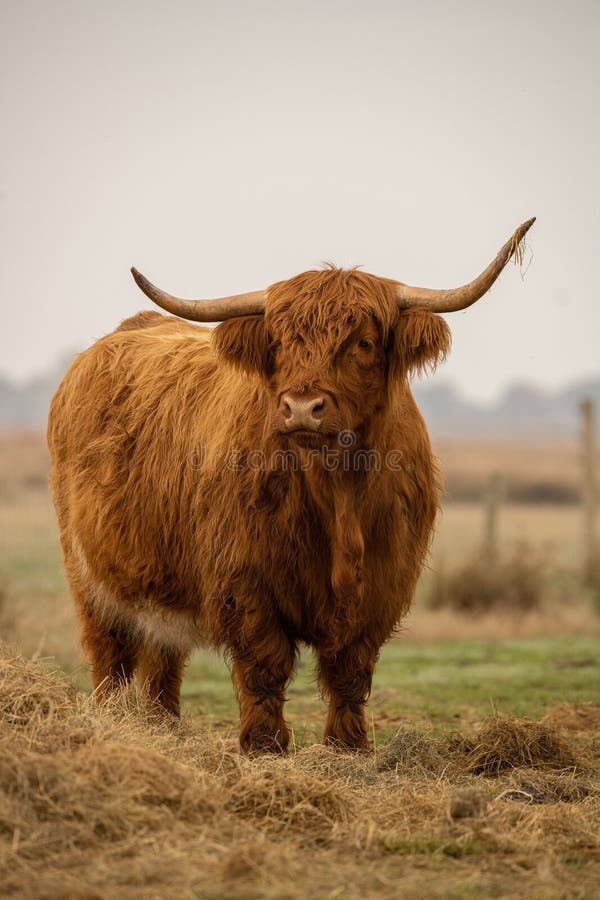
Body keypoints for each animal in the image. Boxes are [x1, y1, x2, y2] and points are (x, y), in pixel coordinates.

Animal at [48, 218, 534, 753]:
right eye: (279, 343)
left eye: (362, 343)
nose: (301, 408)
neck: (338, 492)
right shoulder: (245, 582)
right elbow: (265, 665)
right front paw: (265, 744)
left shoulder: (382, 586)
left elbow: (349, 670)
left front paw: (348, 744)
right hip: (90, 571)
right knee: (110, 654)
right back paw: (113, 722)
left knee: (162, 658)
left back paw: (163, 727)